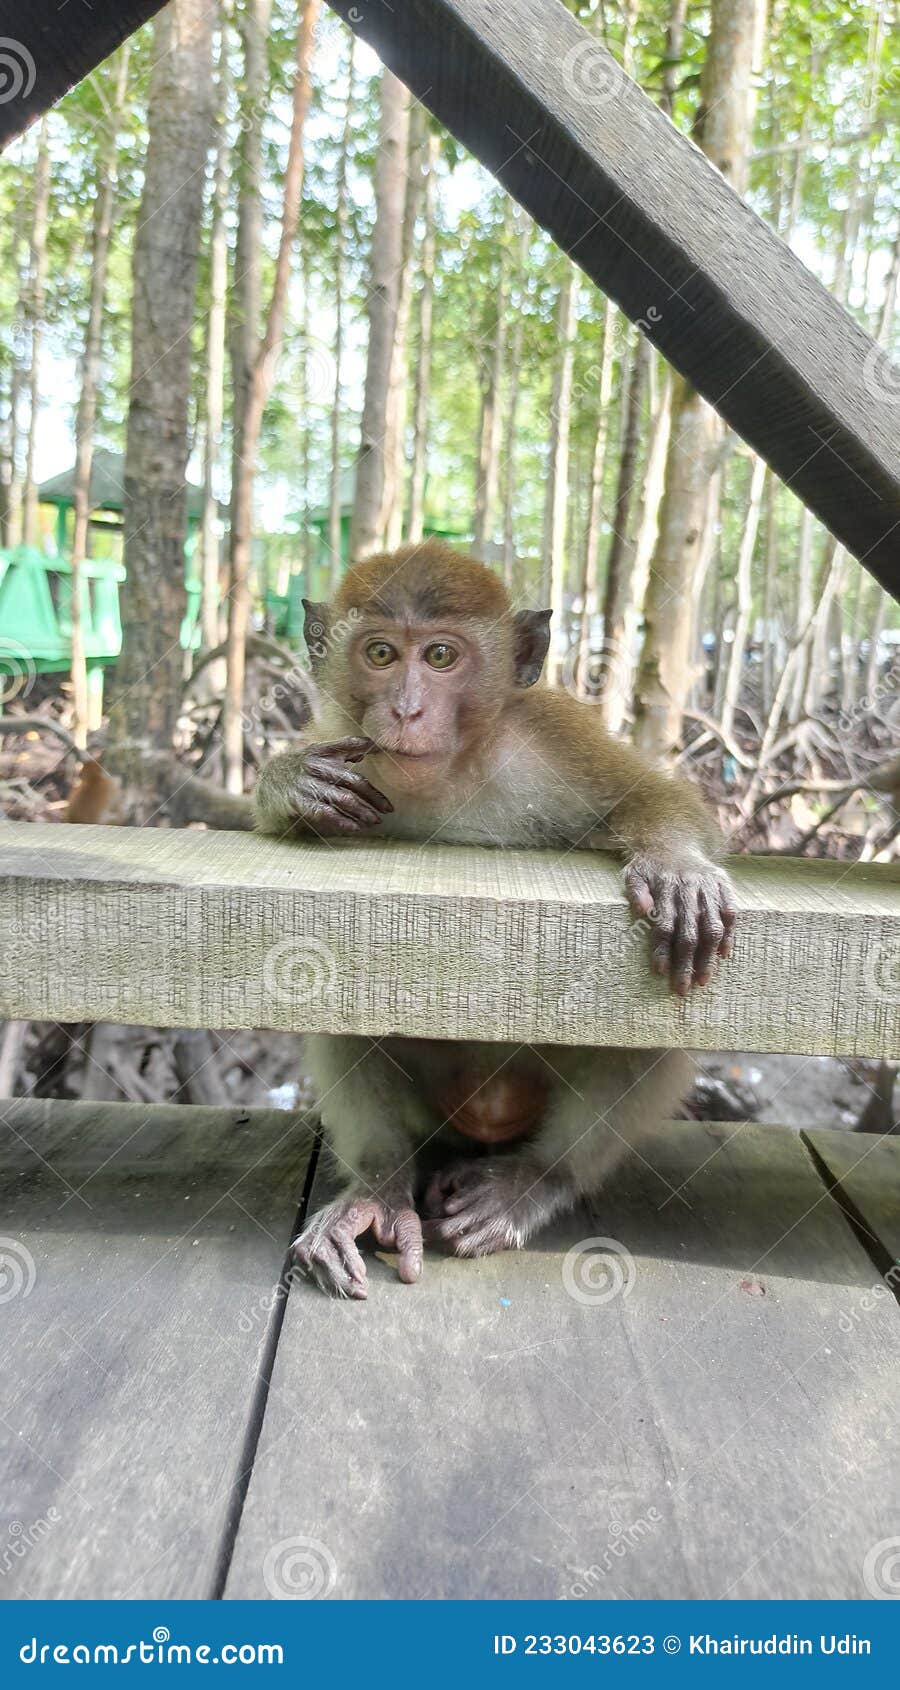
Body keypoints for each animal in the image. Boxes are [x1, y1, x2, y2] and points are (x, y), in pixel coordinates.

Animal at [254, 541, 736, 1298]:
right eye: (382, 654)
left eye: (441, 657)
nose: (407, 709)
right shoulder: (344, 742)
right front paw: (290, 781)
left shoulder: (548, 742)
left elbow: (649, 798)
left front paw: (677, 867)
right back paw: (381, 1186)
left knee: (644, 1042)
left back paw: (535, 1180)